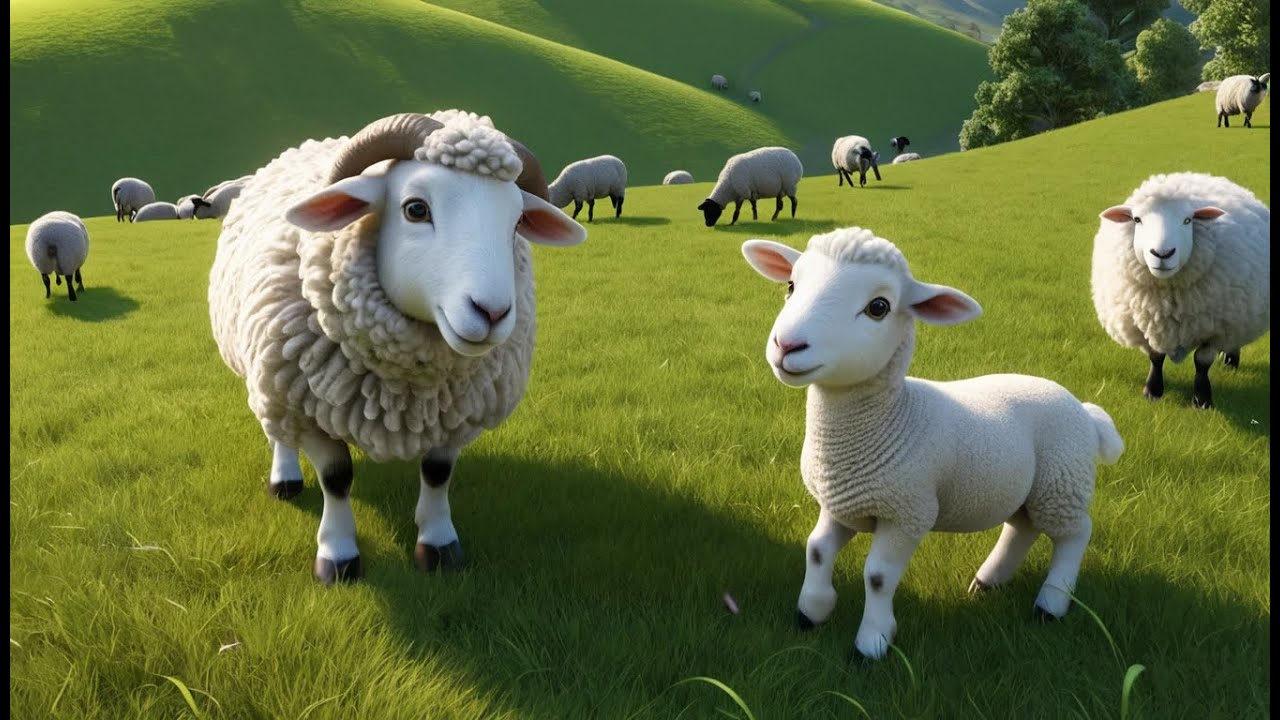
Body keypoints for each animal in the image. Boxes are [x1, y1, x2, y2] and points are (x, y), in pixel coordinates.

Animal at [208, 110, 587, 584]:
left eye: (517, 222)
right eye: (415, 210)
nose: (492, 312)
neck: (404, 389)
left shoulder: (457, 411)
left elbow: (438, 473)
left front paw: (438, 544)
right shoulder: (308, 407)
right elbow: (336, 477)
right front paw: (337, 555)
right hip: (273, 379)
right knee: (277, 430)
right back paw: (285, 477)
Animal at [741, 227, 1124, 660]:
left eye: (878, 307)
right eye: (791, 285)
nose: (787, 345)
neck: (892, 419)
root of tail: (1084, 410)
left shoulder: (909, 513)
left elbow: (877, 576)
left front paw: (872, 643)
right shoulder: (842, 503)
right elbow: (817, 550)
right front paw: (811, 612)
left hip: (1062, 482)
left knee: (1075, 534)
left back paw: (1051, 602)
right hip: (1030, 490)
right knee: (1022, 529)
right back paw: (988, 581)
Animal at [1091, 172, 1269, 409]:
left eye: (1187, 220)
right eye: (1137, 220)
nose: (1162, 254)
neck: (1169, 303)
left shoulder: (1215, 330)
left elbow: (1202, 362)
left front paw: (1202, 400)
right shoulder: (1149, 322)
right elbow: (1156, 357)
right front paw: (1152, 391)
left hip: (1239, 315)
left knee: (1234, 340)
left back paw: (1231, 360)